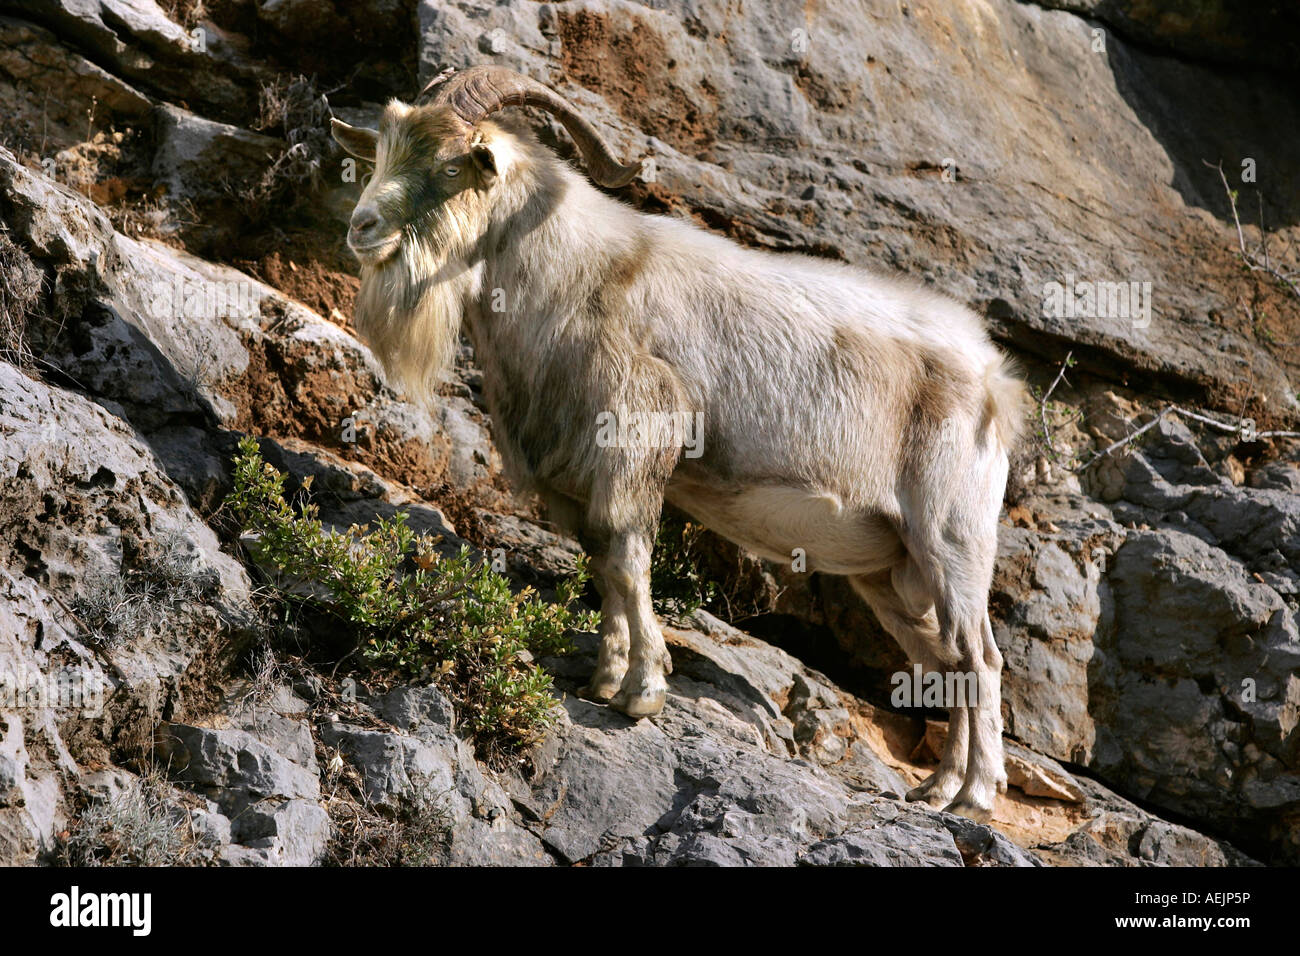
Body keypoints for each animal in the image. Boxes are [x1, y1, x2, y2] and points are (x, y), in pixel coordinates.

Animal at [330, 66, 1030, 820]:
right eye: (383, 153)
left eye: (452, 164)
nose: (362, 226)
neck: (583, 275)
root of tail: (995, 380)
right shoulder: (574, 477)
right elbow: (602, 562)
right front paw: (605, 679)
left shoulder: (639, 439)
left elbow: (628, 555)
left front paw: (644, 691)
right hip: (890, 570)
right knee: (947, 661)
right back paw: (938, 790)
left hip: (952, 536)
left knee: (981, 657)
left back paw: (977, 795)